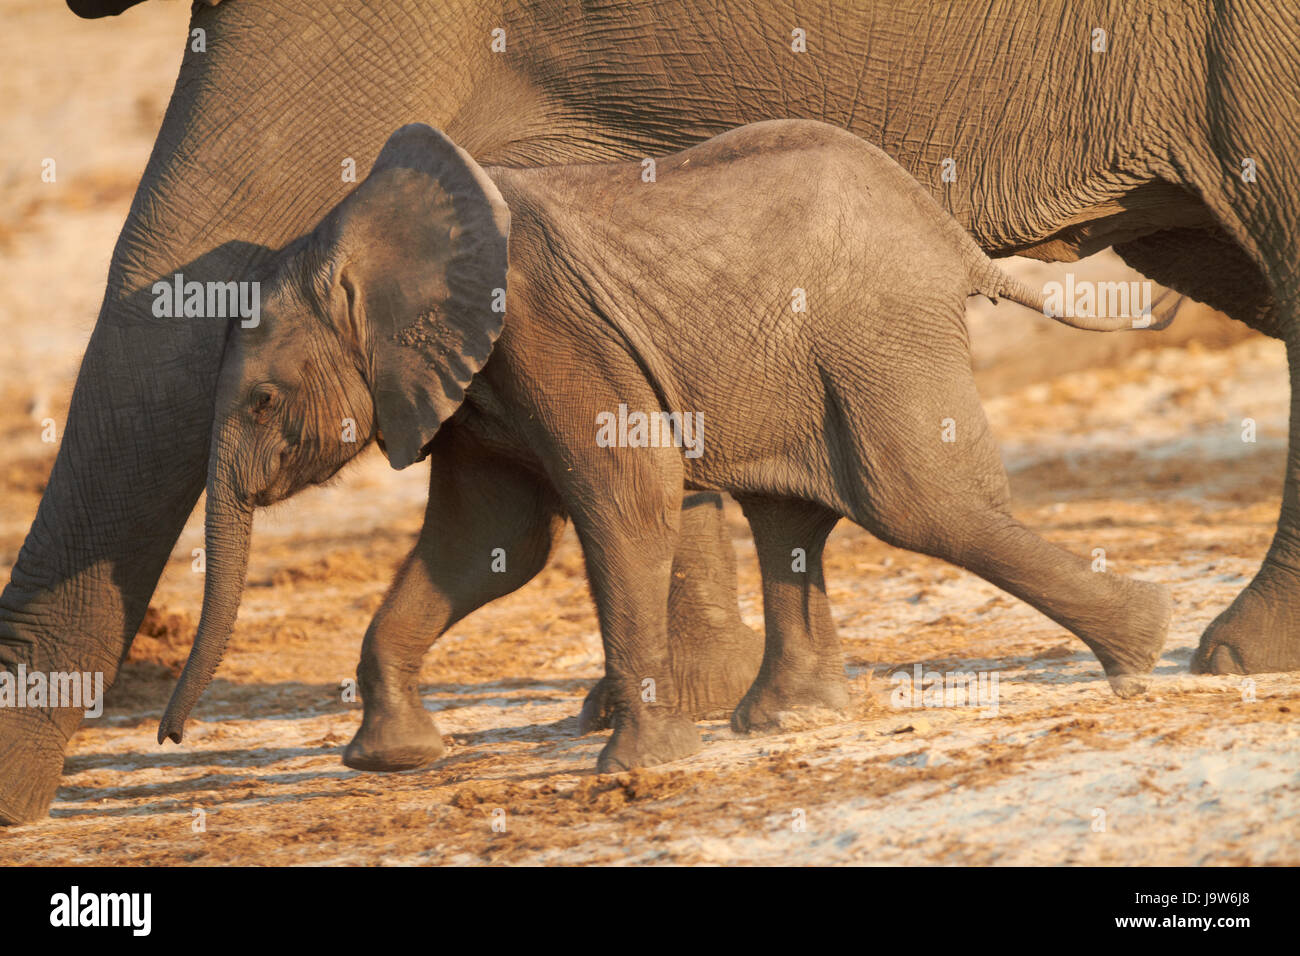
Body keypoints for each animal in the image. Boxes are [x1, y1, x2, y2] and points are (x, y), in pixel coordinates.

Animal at [154, 120, 1172, 772]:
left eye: (262, 401)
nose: (168, 737)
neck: (362, 235)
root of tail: (956, 241)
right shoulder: (468, 378)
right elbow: (486, 543)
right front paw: (391, 762)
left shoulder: (546, 327)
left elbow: (623, 500)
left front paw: (636, 767)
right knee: (791, 516)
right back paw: (781, 722)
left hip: (880, 334)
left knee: (919, 504)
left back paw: (1142, 652)